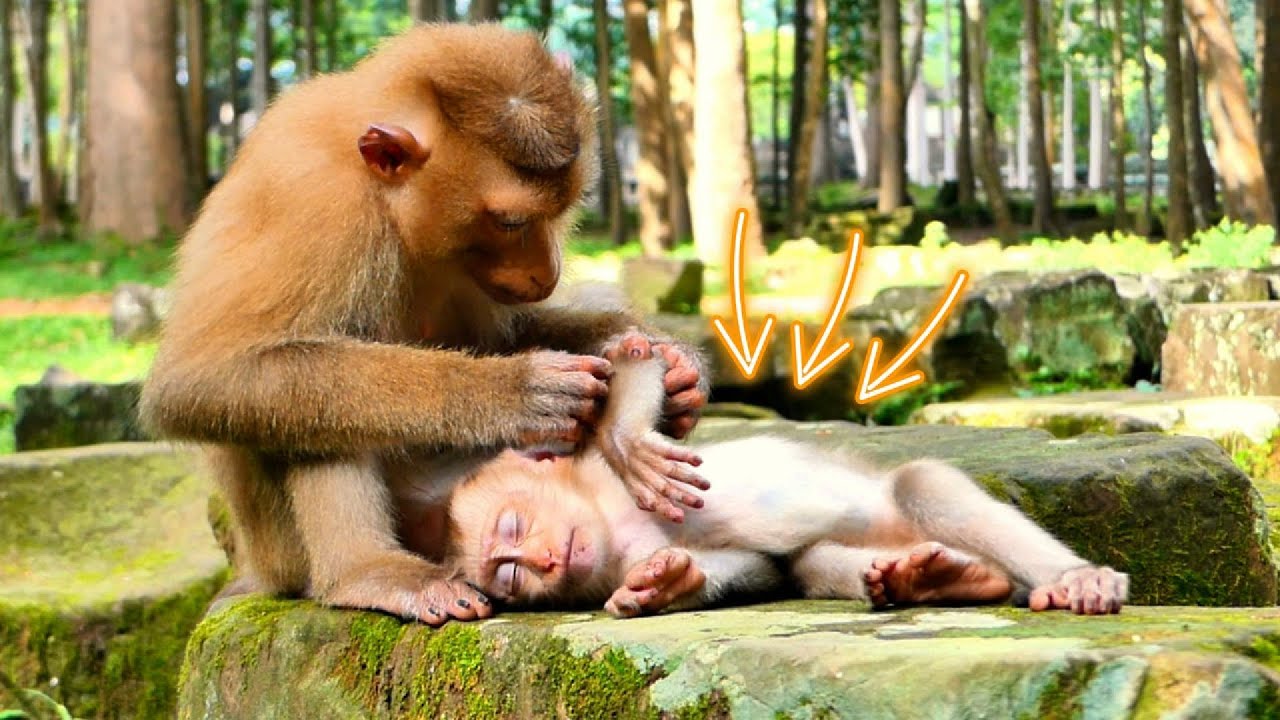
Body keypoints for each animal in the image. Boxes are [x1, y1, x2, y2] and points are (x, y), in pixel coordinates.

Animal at [139, 24, 709, 627]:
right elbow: (200, 381)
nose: (548, 271)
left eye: (562, 210)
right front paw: (513, 391)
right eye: (512, 222)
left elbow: (501, 334)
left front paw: (670, 363)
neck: (386, 200)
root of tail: (258, 568)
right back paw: (368, 573)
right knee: (310, 403)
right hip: (282, 550)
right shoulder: (312, 200)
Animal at [438, 333, 1130, 618]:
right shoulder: (607, 565)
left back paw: (1074, 579)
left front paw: (629, 440)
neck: (608, 526)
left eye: (513, 527)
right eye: (508, 574)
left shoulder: (595, 474)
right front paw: (664, 587)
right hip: (893, 547)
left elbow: (635, 366)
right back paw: (947, 580)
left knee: (918, 486)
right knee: (811, 561)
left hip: (896, 507)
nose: (545, 561)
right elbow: (761, 567)